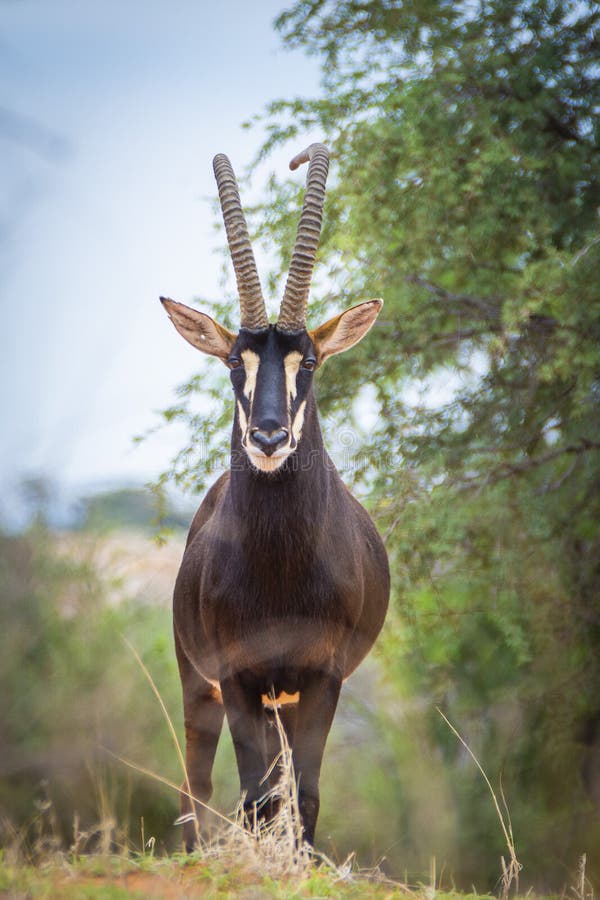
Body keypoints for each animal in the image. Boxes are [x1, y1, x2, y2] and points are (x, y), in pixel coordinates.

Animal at [161, 143, 389, 850]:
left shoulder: (322, 680)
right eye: (236, 360)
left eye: (308, 361)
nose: (268, 436)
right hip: (202, 686)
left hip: (281, 703)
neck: (281, 564)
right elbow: (255, 798)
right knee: (199, 787)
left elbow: (304, 797)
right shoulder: (237, 679)